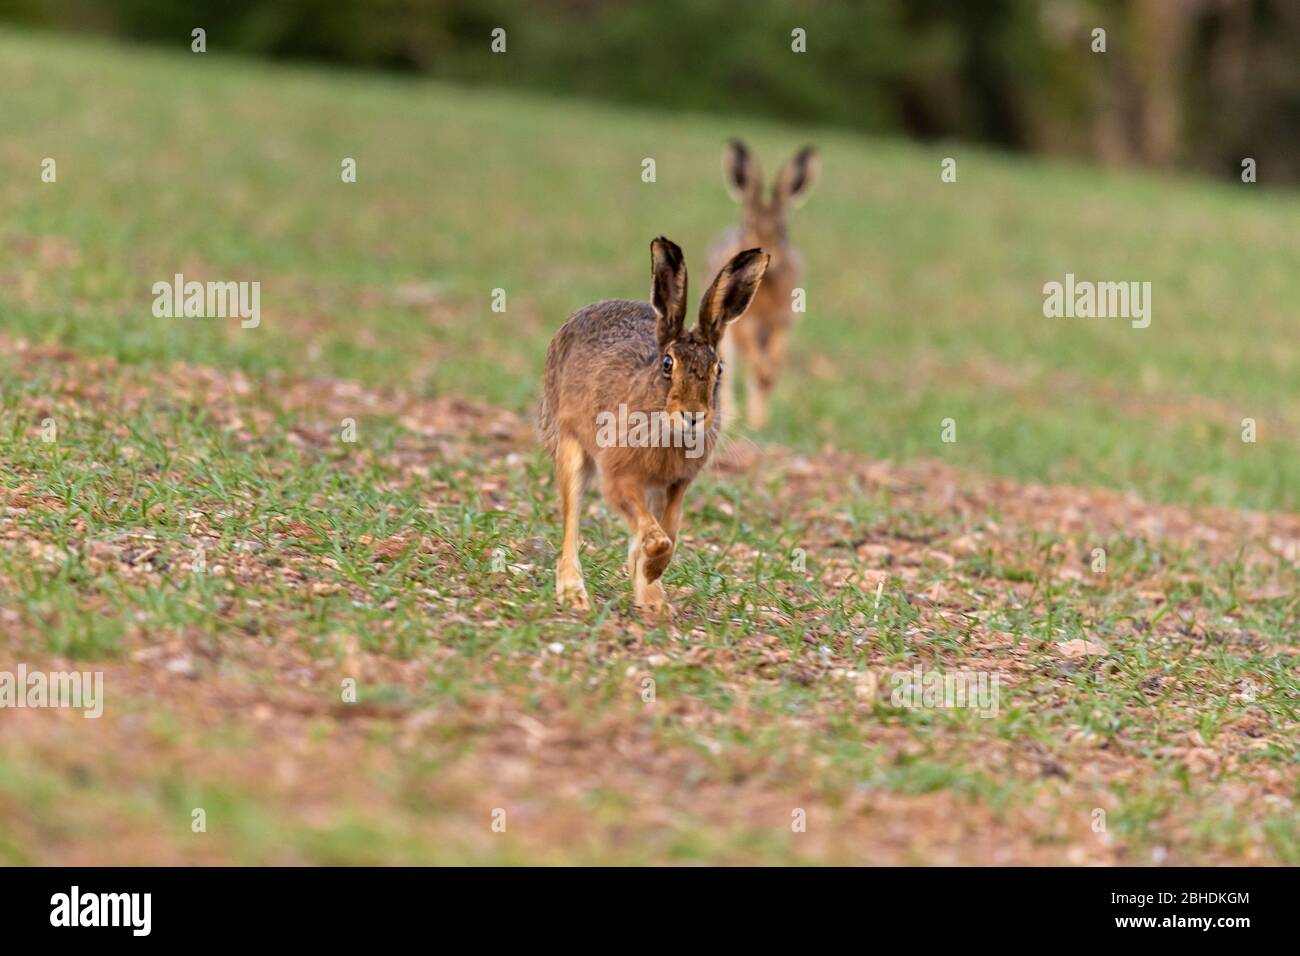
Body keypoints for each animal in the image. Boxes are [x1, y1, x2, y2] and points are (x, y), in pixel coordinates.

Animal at [538, 237, 769, 616]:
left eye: (719, 369)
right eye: (667, 364)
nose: (693, 415)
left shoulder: (676, 484)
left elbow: (669, 532)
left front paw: (649, 578)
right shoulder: (619, 478)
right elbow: (657, 536)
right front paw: (650, 570)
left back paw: (650, 599)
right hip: (569, 443)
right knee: (571, 519)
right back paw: (573, 593)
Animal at [709, 139, 818, 429]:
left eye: (783, 230)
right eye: (748, 225)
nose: (768, 255)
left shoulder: (781, 323)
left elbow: (773, 361)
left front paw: (770, 376)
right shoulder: (744, 325)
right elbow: (752, 358)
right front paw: (765, 373)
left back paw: (759, 421)